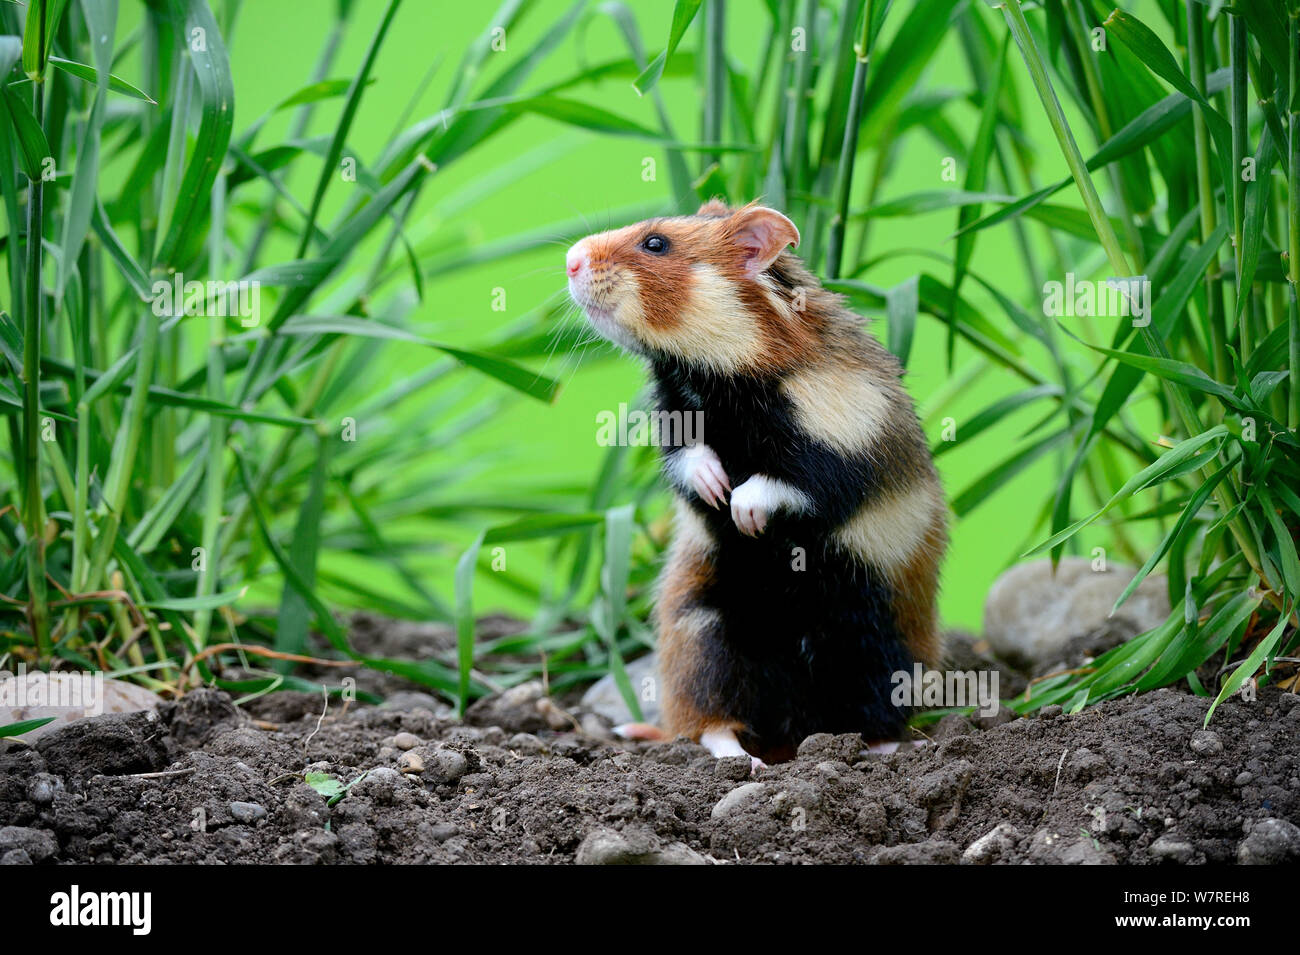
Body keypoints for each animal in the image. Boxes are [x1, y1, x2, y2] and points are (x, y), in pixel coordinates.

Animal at [566, 199, 947, 768]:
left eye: (655, 244)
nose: (569, 260)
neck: (717, 373)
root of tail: (793, 732)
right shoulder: (674, 418)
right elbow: (688, 458)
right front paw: (715, 487)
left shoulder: (848, 443)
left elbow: (792, 479)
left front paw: (742, 510)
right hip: (704, 633)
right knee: (710, 719)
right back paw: (736, 756)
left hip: (878, 646)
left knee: (875, 713)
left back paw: (888, 748)